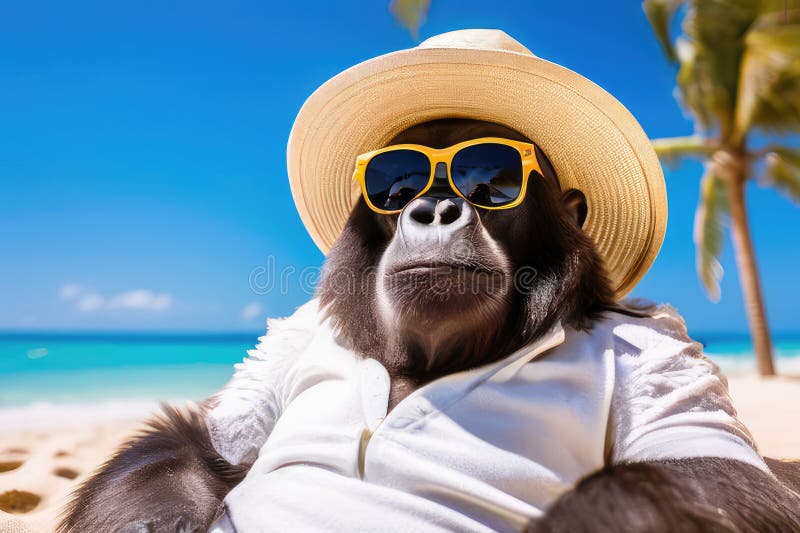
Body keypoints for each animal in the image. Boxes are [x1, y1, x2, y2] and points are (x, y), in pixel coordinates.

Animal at [59, 119, 800, 533]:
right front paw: (153, 514)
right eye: (398, 180)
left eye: (492, 178)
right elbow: (209, 442)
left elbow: (721, 481)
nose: (435, 204)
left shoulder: (659, 343)